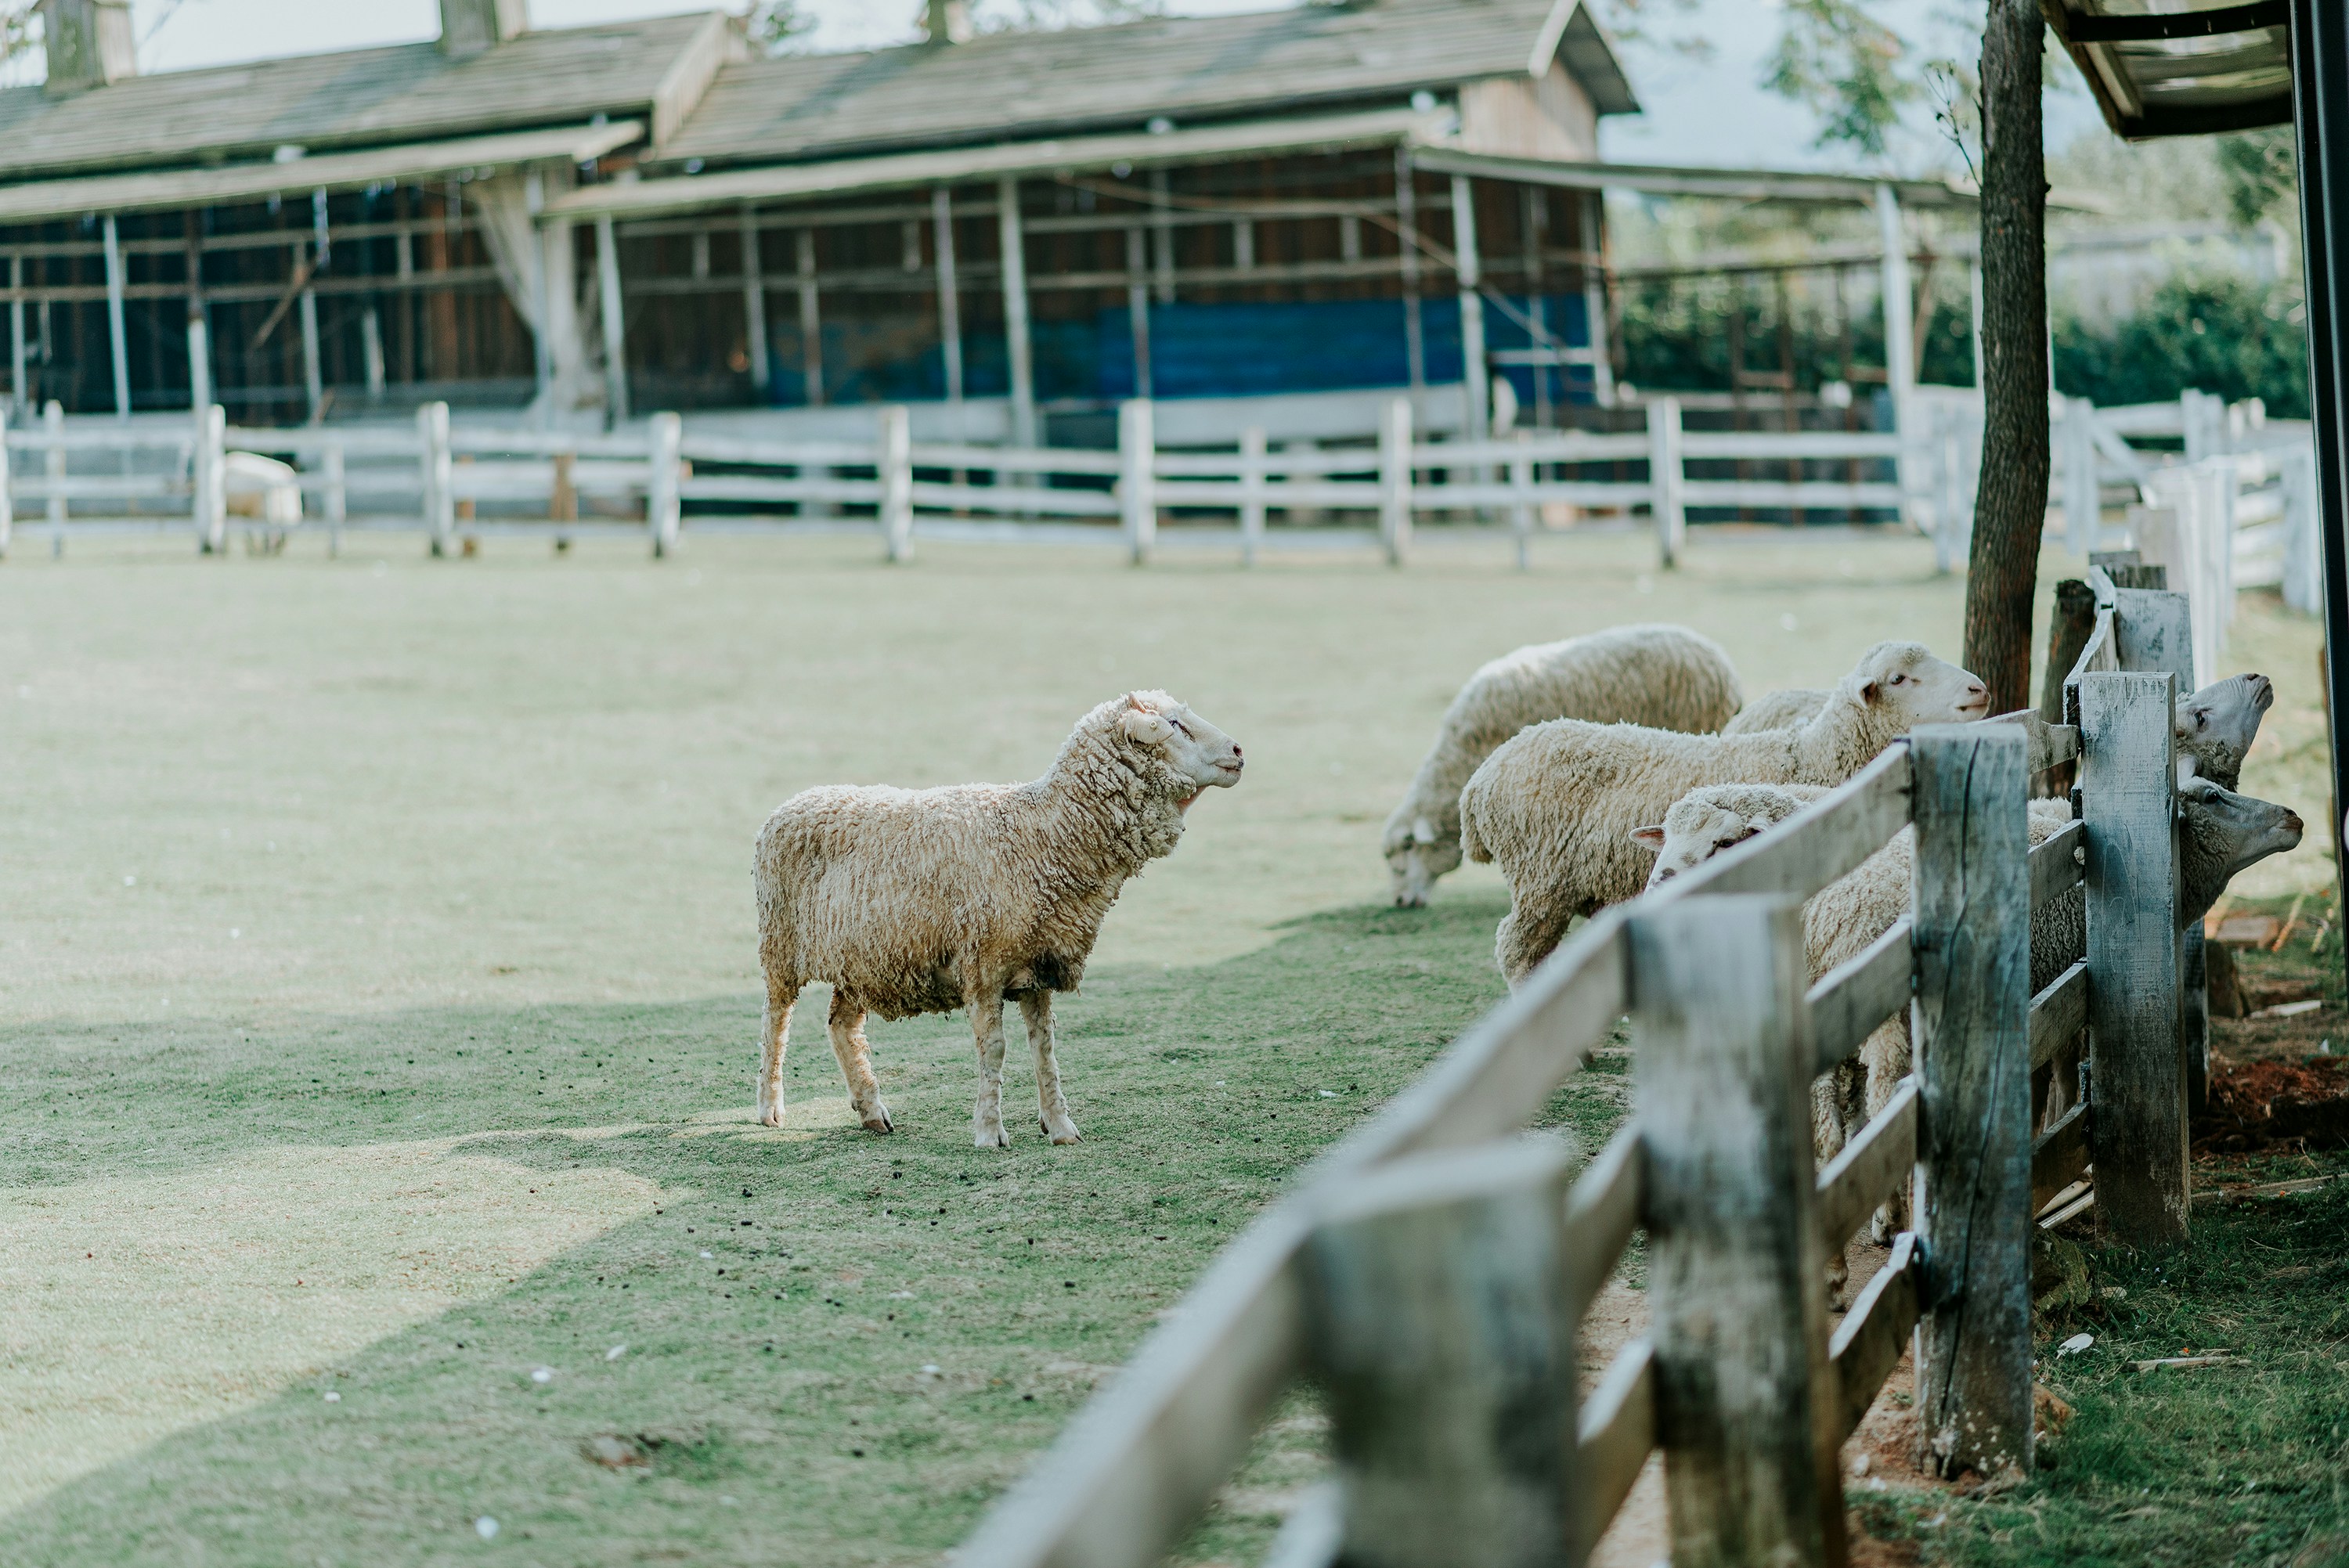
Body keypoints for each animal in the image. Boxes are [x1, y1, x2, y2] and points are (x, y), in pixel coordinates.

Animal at [752, 690, 1243, 1149]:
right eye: (1175, 724)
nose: (1239, 751)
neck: (1045, 833)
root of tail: (790, 803)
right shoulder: (983, 967)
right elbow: (995, 1048)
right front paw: (989, 1131)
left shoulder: (1037, 966)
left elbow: (1044, 1047)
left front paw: (1060, 1127)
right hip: (781, 943)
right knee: (776, 1021)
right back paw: (770, 1108)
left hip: (866, 962)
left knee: (841, 1027)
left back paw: (872, 1111)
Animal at [1456, 640, 1988, 984]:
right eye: (1899, 678)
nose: (1979, 691)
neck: (1811, 756)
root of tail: (1479, 780)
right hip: (1541, 881)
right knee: (1516, 951)